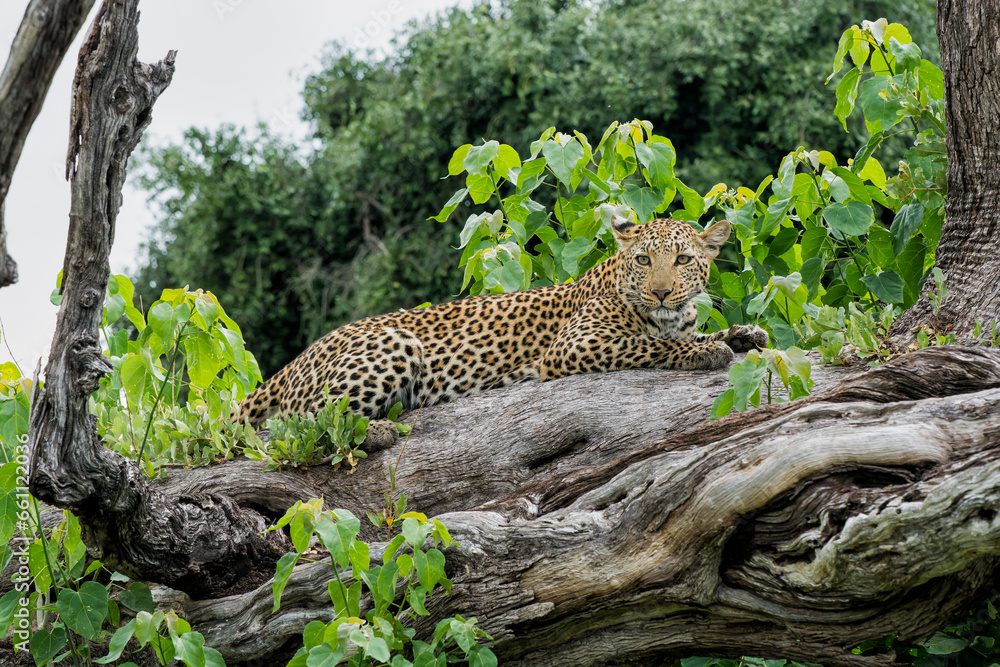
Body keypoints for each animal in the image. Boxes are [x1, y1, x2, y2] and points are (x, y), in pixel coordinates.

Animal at [237, 216, 768, 428]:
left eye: (682, 260)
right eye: (643, 260)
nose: (660, 290)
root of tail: (298, 358)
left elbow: (699, 332)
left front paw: (744, 332)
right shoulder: (575, 345)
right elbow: (650, 345)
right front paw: (705, 351)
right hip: (394, 344)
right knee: (304, 424)